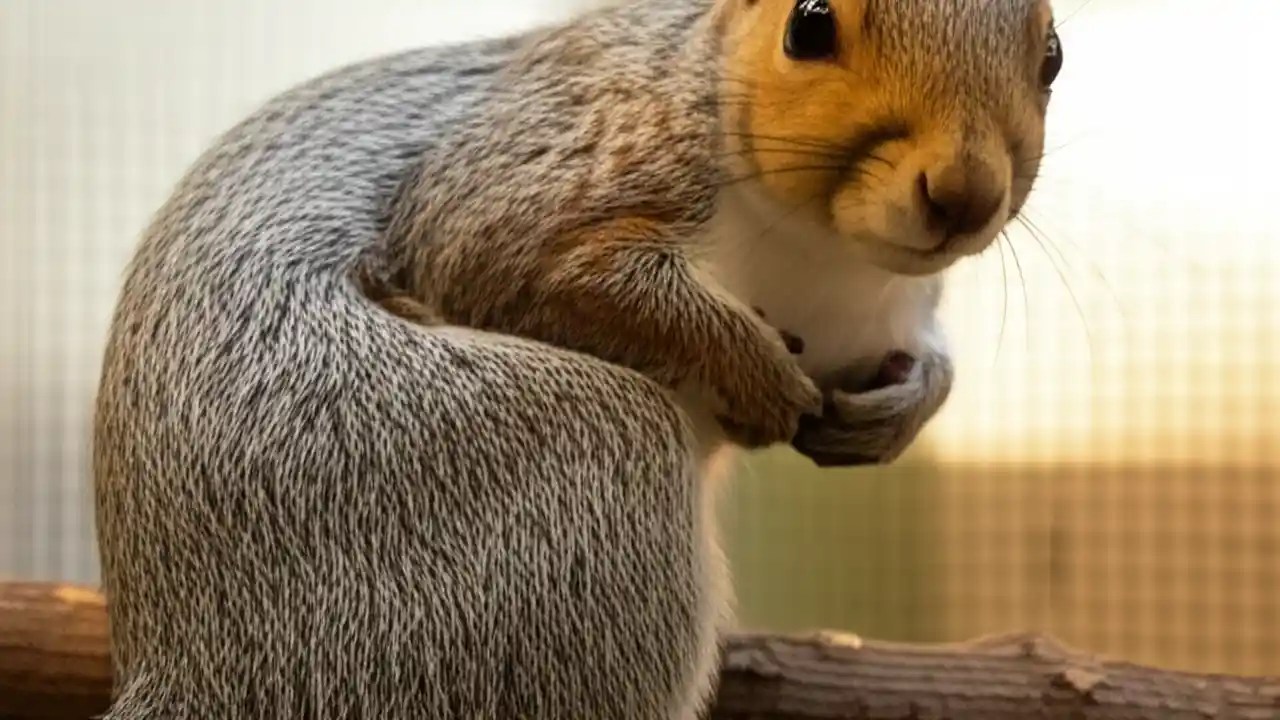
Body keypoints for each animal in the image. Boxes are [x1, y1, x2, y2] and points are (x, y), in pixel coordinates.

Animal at [92, 0, 1061, 718]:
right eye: (809, 24)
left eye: (1052, 53)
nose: (965, 195)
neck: (817, 249)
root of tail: (195, 666)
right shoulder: (539, 174)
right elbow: (538, 274)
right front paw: (745, 363)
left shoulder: (883, 314)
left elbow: (921, 360)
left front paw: (907, 407)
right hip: (558, 483)